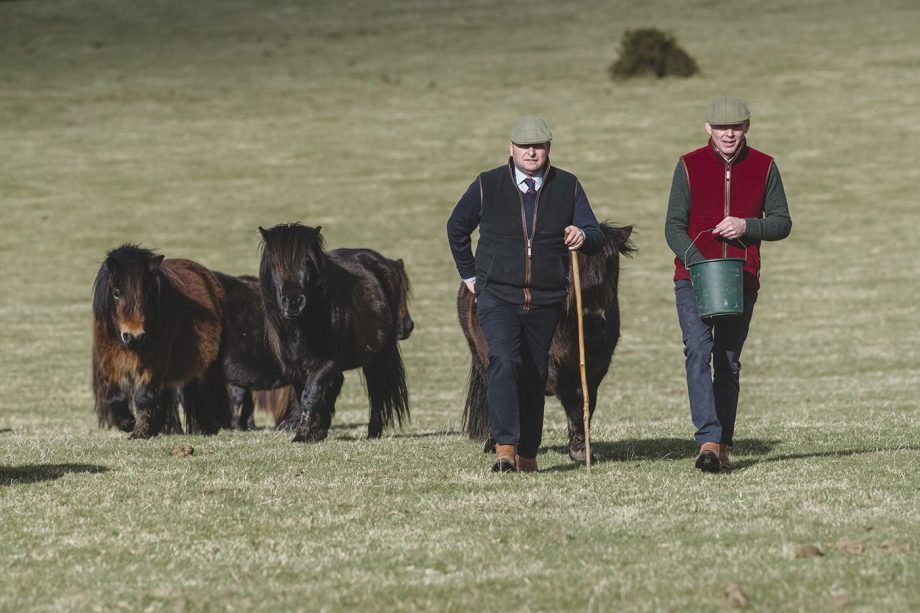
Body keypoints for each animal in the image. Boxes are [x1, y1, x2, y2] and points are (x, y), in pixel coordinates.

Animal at [92, 245, 233, 438]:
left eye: (147, 293)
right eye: (116, 293)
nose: (134, 336)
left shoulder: (153, 363)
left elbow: (143, 397)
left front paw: (139, 432)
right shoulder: (110, 362)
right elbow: (115, 398)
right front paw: (128, 423)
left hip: (208, 366)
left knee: (206, 391)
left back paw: (209, 427)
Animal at [258, 223, 412, 442]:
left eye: (308, 262)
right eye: (274, 265)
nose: (294, 302)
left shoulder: (326, 364)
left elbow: (310, 394)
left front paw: (302, 434)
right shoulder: (293, 368)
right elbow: (304, 395)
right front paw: (314, 430)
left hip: (380, 356)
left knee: (376, 390)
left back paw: (373, 432)